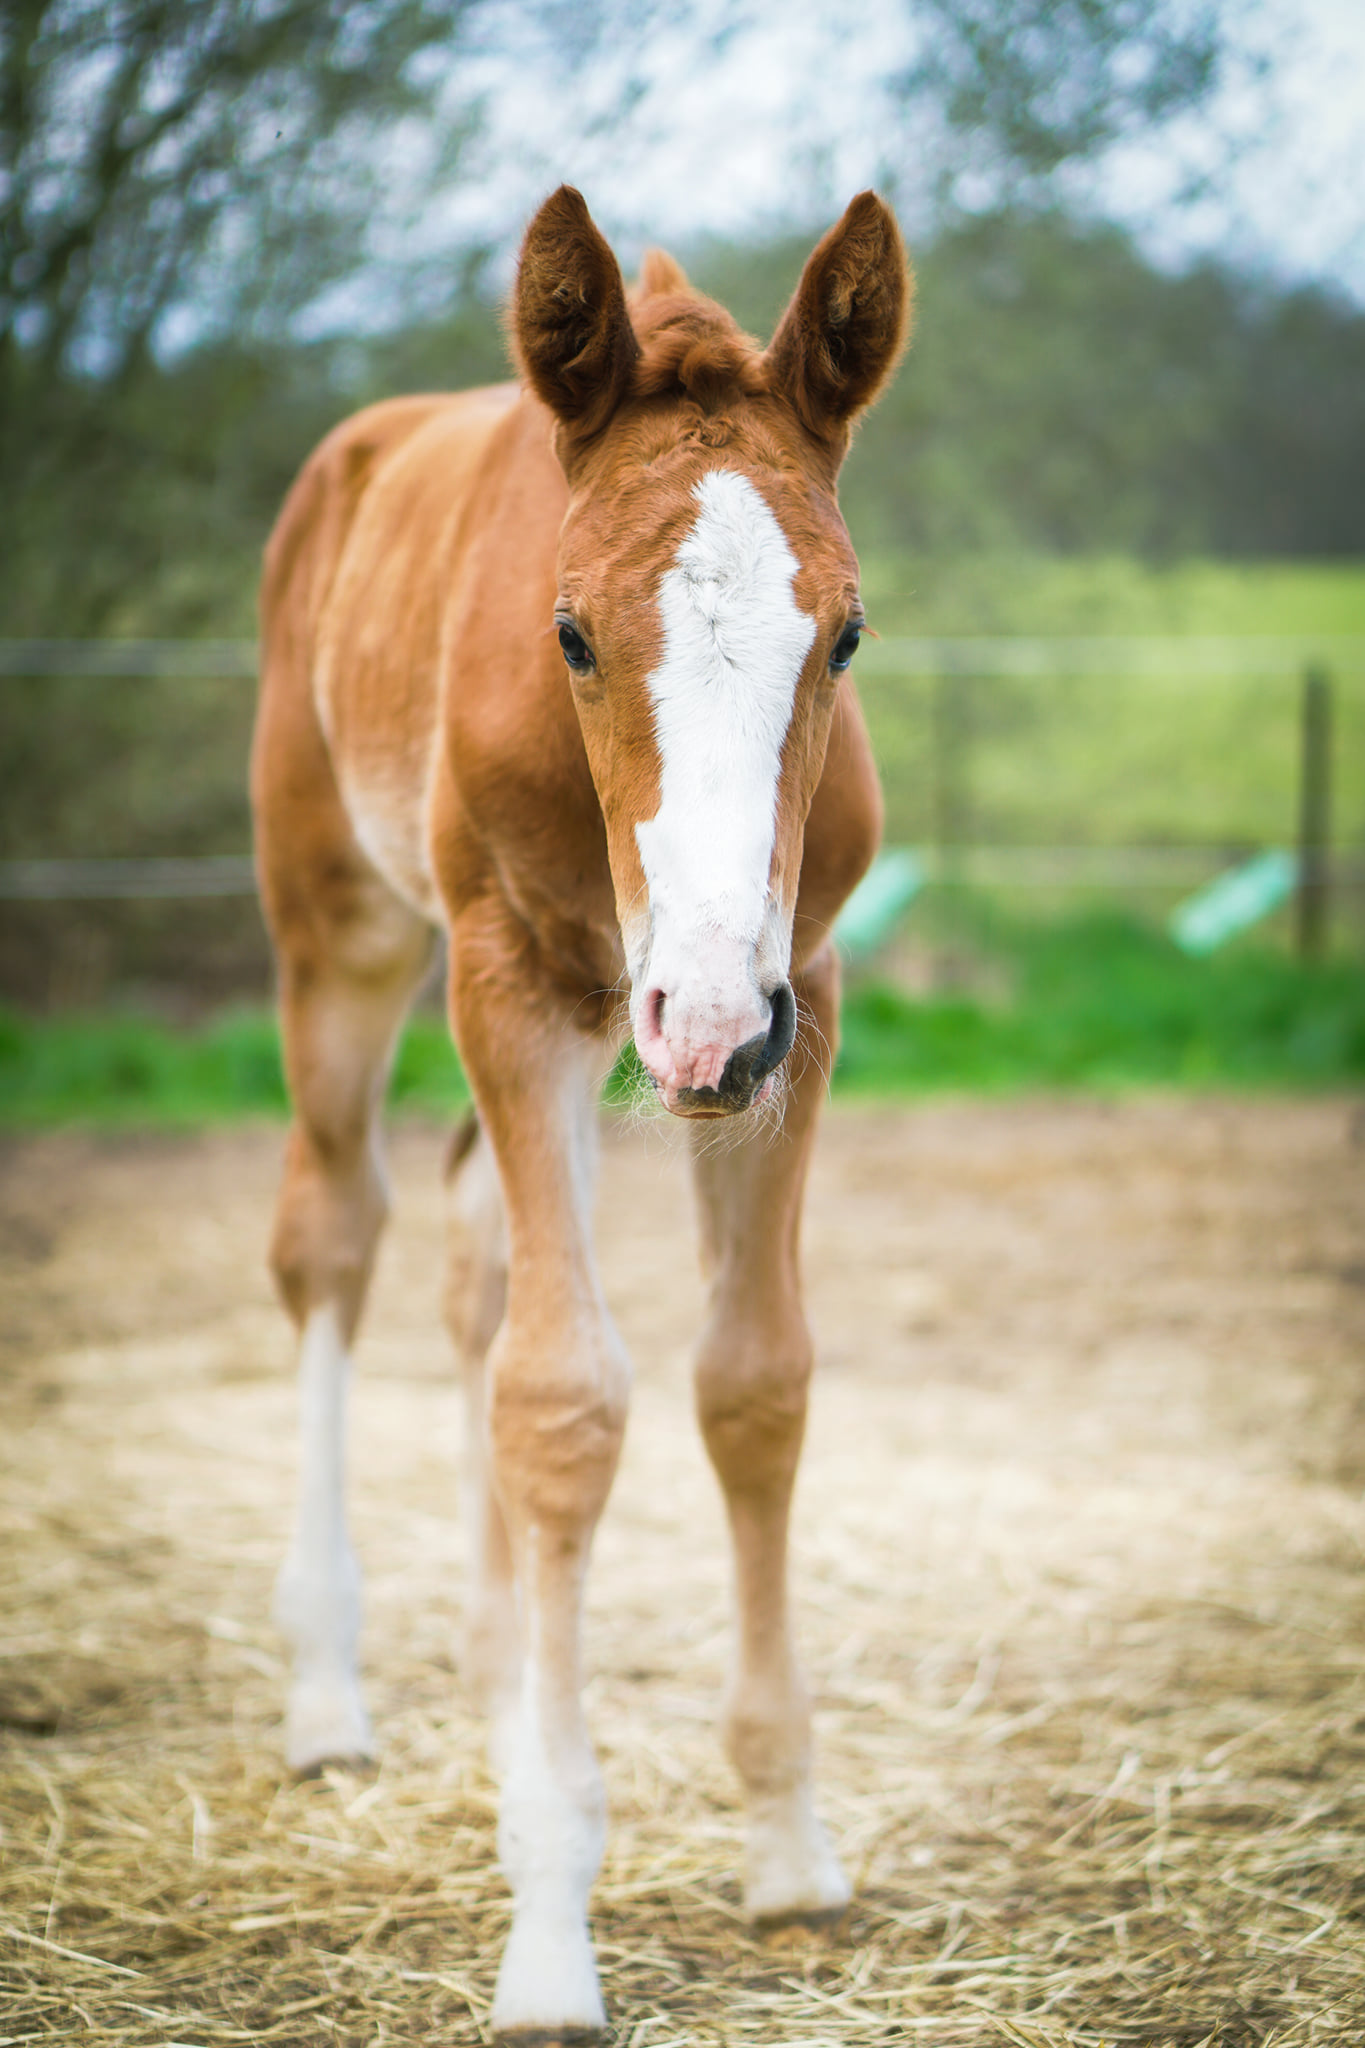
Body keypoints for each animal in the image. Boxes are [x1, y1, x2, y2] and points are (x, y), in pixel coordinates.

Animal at [251, 184, 909, 2037]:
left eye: (845, 634)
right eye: (569, 633)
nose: (702, 1021)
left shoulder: (800, 997)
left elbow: (754, 1383)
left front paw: (789, 1844)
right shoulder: (514, 985)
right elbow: (564, 1404)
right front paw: (549, 1926)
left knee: (475, 1245)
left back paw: (491, 1678)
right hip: (341, 931)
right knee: (335, 1236)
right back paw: (328, 1693)